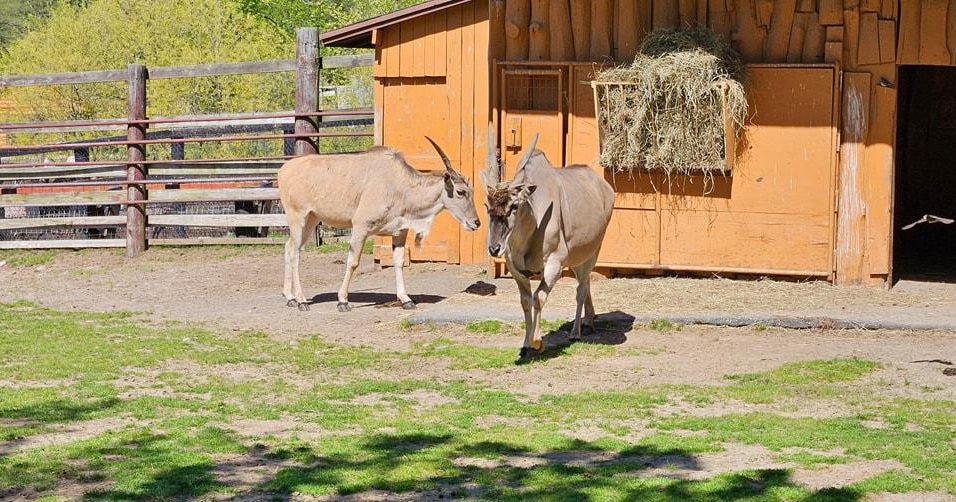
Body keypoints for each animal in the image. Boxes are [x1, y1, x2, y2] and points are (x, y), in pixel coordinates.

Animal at [278, 138, 480, 312]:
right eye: (461, 192)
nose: (476, 222)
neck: (399, 185)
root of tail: (284, 170)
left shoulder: (400, 232)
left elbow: (398, 262)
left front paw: (406, 300)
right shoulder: (360, 227)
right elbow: (353, 262)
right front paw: (343, 301)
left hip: (311, 219)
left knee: (289, 246)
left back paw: (290, 298)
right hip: (298, 217)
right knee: (295, 252)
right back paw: (302, 301)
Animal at [482, 133, 615, 359]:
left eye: (514, 205)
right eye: (486, 205)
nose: (494, 248)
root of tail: (605, 187)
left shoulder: (554, 265)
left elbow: (538, 298)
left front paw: (537, 342)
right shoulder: (517, 271)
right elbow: (526, 301)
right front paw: (525, 345)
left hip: (592, 252)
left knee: (580, 289)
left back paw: (575, 332)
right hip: (577, 260)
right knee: (585, 282)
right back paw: (589, 320)